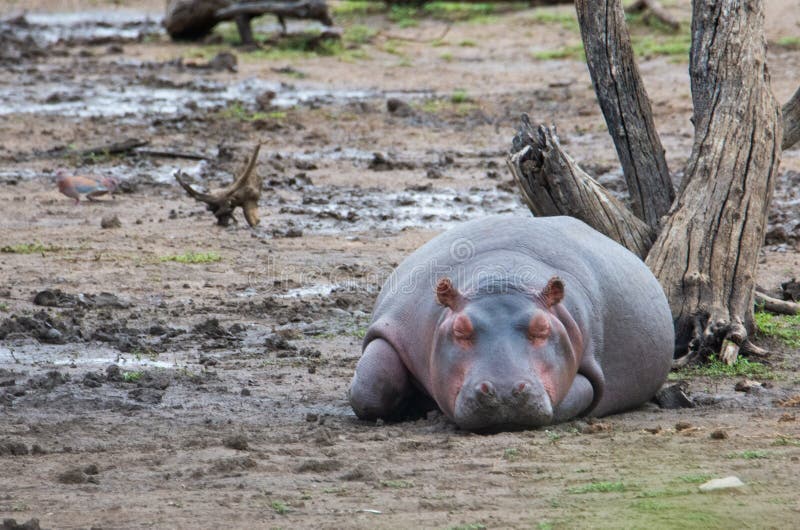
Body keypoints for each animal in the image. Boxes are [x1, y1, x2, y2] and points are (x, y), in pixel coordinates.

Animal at [348, 215, 674, 431]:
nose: (503, 391)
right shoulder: (397, 325)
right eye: (460, 329)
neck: (501, 279)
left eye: (542, 328)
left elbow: (579, 393)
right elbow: (368, 390)